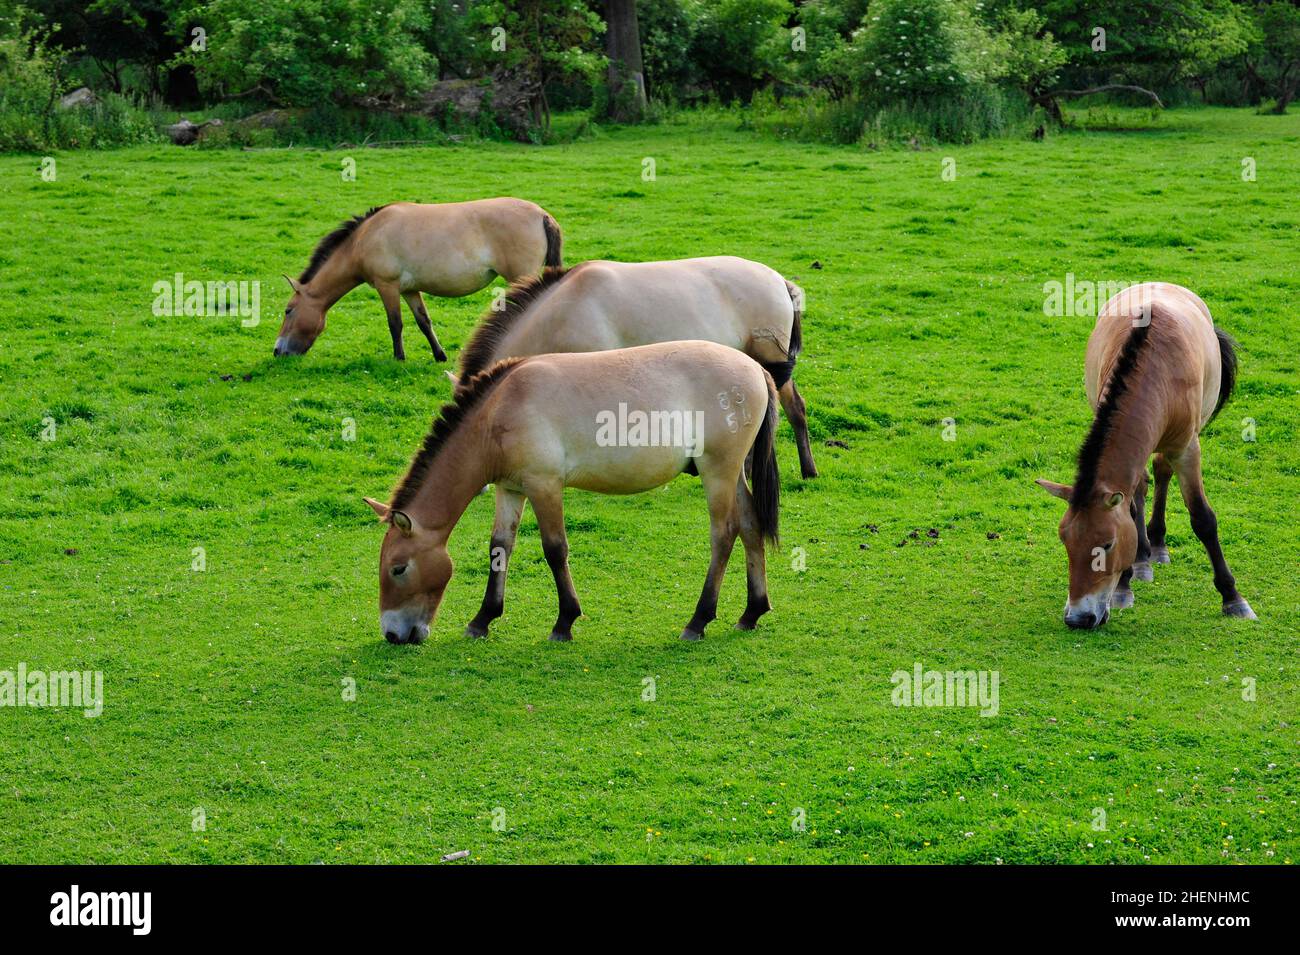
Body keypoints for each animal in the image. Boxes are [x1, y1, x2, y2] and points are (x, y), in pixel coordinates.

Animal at [274, 198, 562, 360]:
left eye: (288, 311)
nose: (278, 351)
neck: (364, 238)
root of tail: (542, 215)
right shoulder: (409, 291)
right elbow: (424, 322)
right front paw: (440, 355)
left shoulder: (387, 286)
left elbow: (395, 324)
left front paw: (398, 358)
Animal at [362, 340, 780, 644]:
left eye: (398, 568)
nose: (392, 634)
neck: (500, 411)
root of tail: (755, 368)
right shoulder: (510, 489)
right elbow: (500, 547)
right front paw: (483, 619)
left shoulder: (544, 486)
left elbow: (554, 549)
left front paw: (564, 622)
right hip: (733, 475)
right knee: (750, 527)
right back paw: (751, 612)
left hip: (717, 473)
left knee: (724, 535)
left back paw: (699, 620)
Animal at [1036, 282, 1256, 629]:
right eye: (1065, 541)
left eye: (1107, 545)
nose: (1078, 618)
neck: (1156, 367)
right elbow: (1131, 507)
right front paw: (1125, 585)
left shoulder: (1187, 449)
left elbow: (1203, 519)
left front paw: (1233, 598)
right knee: (1143, 486)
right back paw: (1143, 558)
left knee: (1162, 471)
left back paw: (1160, 545)